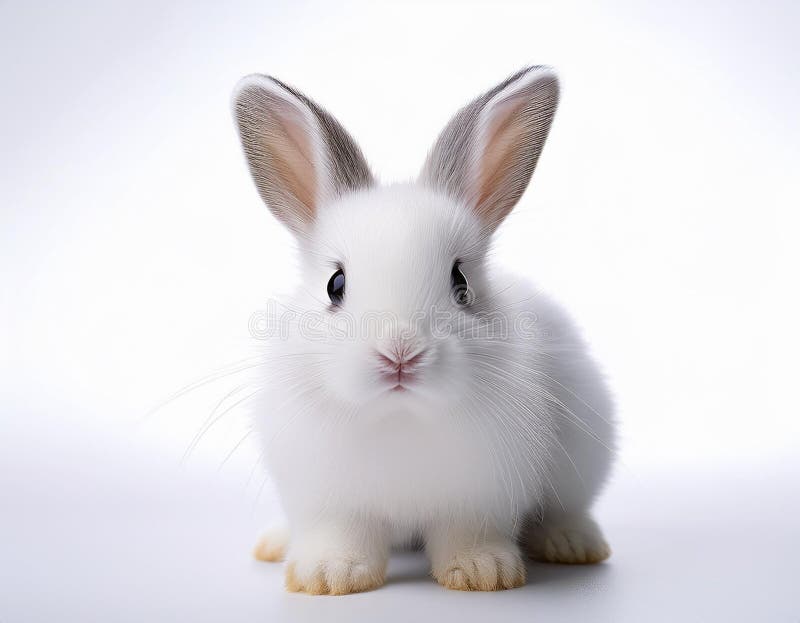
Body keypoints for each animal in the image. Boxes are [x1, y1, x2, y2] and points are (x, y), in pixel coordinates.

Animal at [232, 66, 616, 595]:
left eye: (461, 282)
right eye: (335, 284)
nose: (400, 353)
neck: (399, 419)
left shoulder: (478, 500)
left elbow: (467, 536)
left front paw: (483, 573)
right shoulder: (329, 502)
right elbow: (339, 537)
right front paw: (329, 577)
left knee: (568, 510)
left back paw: (573, 545)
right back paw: (273, 545)